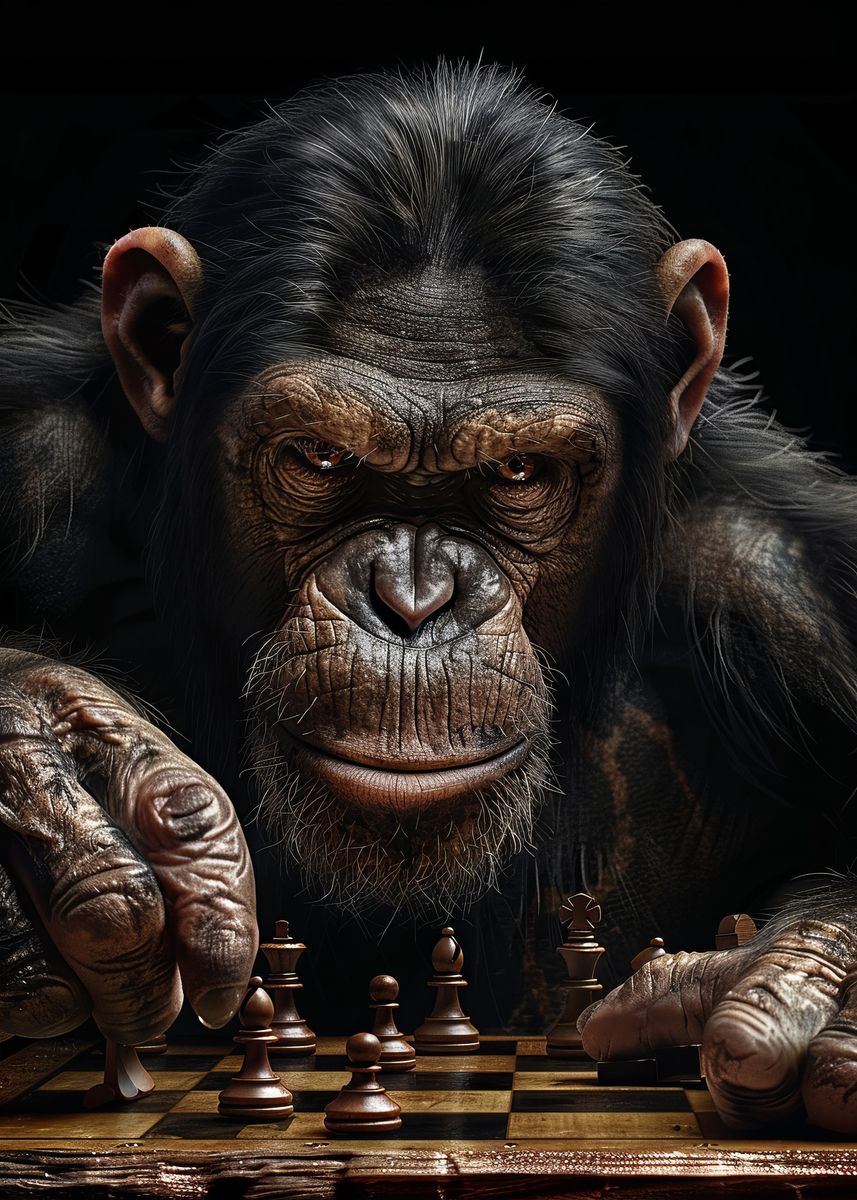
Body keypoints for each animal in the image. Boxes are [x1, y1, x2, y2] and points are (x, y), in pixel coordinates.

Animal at [1, 60, 856, 1134]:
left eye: (520, 472)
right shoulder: (30, 455)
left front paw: (819, 984)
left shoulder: (802, 593)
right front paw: (42, 759)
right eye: (317, 455)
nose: (413, 600)